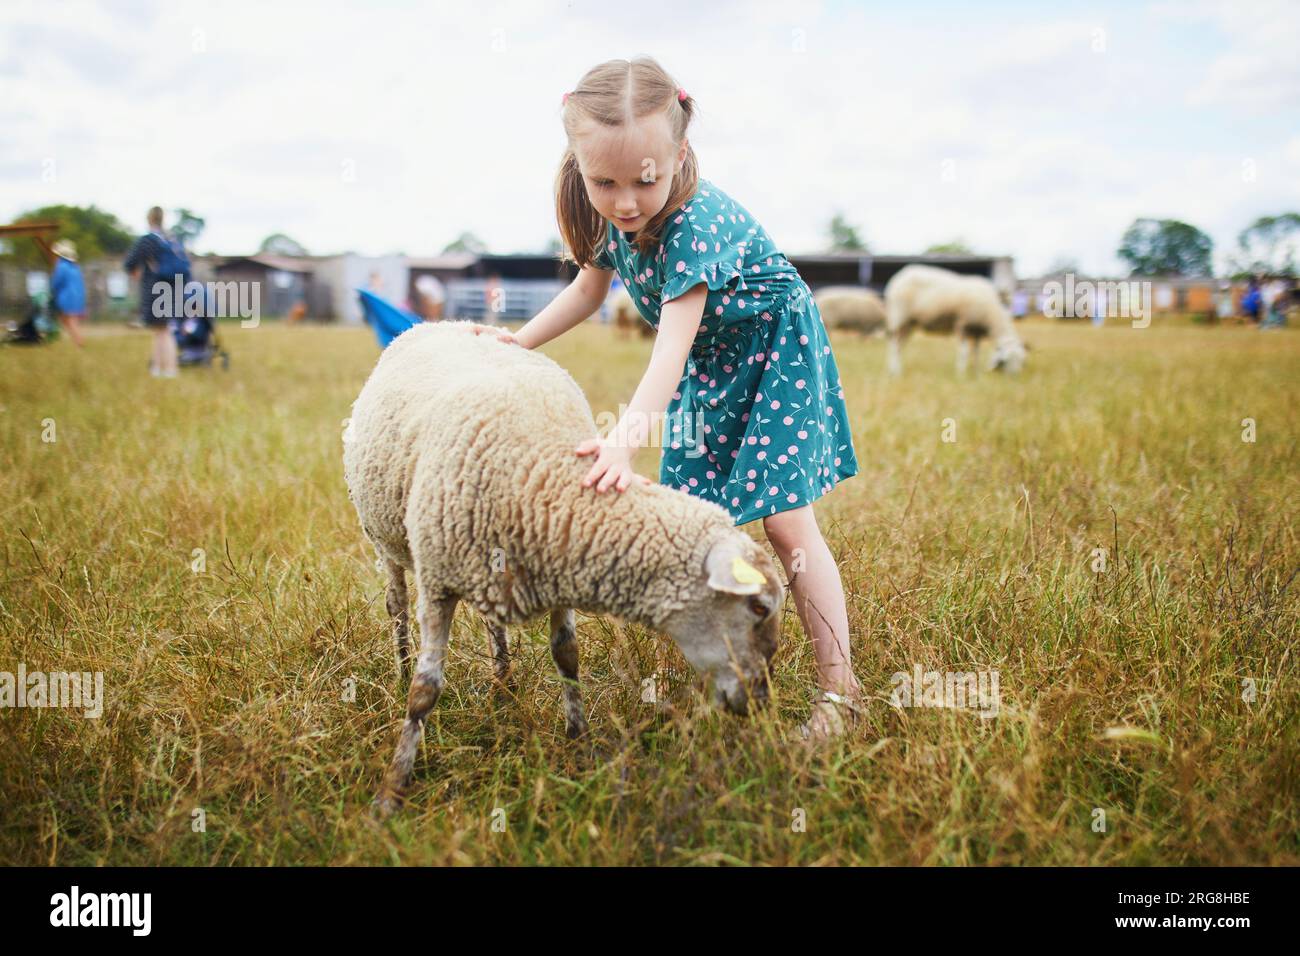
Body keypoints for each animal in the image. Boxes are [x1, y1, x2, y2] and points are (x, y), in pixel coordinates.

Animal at [342, 321, 785, 815]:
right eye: (759, 607)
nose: (760, 700)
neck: (545, 477)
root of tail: (440, 323)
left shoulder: (557, 574)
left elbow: (567, 659)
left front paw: (580, 747)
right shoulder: (438, 581)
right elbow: (424, 693)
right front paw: (391, 792)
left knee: (492, 623)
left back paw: (504, 686)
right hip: (386, 538)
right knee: (396, 604)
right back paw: (401, 667)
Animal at [883, 264, 1027, 375]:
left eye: (1021, 360)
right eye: (1006, 360)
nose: (1015, 377)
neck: (991, 314)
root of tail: (898, 277)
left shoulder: (976, 332)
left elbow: (976, 353)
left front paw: (976, 374)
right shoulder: (962, 324)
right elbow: (964, 352)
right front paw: (961, 374)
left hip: (910, 324)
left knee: (899, 346)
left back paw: (896, 370)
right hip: (899, 318)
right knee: (894, 345)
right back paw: (895, 372)